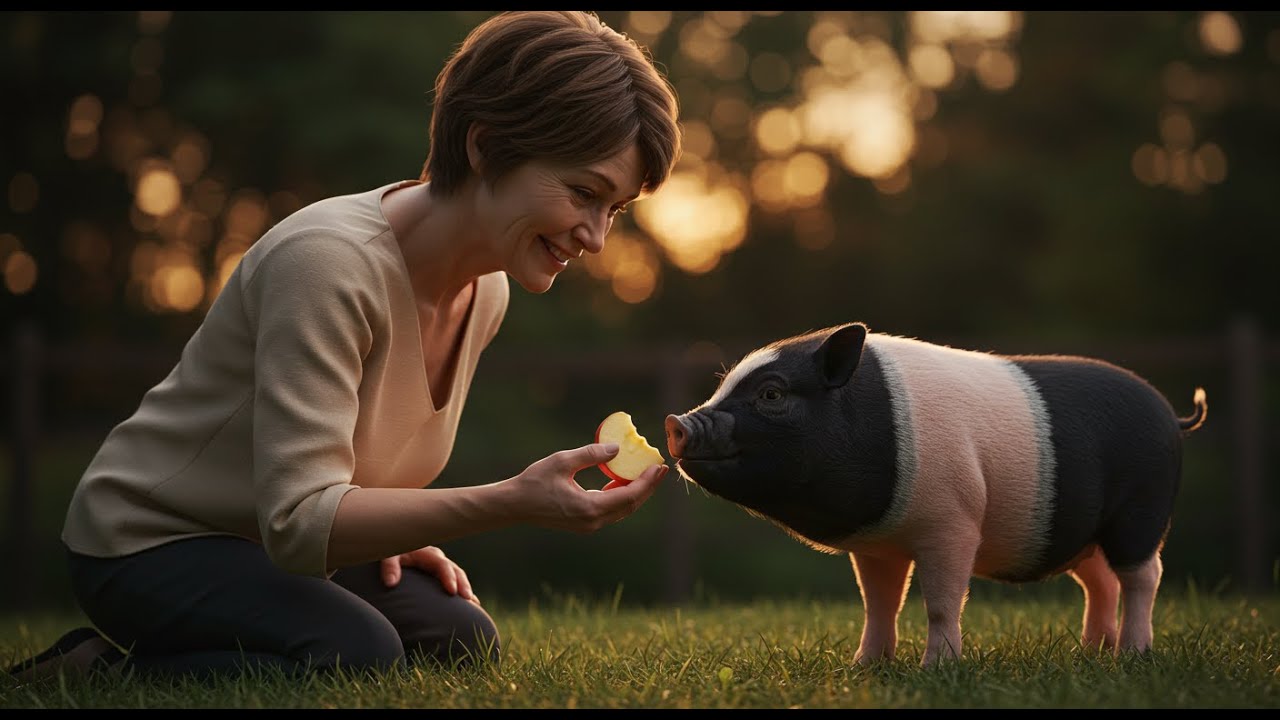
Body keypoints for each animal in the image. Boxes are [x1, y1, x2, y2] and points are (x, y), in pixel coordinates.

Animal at [664, 322, 1207, 667]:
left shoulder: (952, 522)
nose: (676, 423)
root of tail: (1172, 416)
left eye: (772, 394)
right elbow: (879, 603)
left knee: (1144, 575)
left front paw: (937, 670)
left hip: (1142, 507)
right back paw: (1089, 652)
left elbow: (941, 602)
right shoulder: (875, 545)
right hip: (1083, 533)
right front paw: (864, 666)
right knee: (1100, 582)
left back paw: (1132, 655)